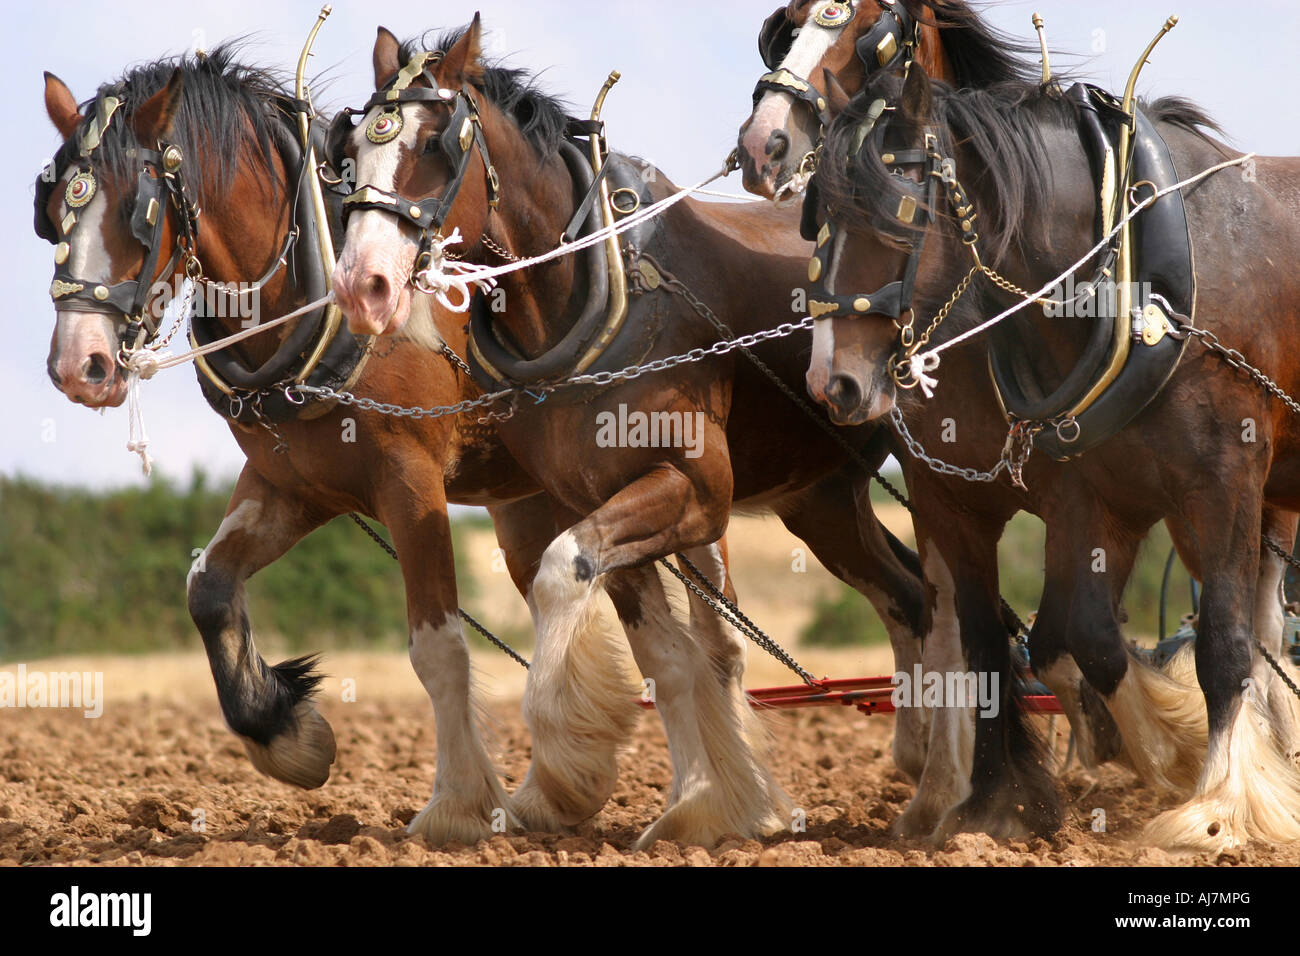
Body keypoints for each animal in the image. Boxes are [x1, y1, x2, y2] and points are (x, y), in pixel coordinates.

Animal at [34, 46, 618, 846]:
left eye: (137, 210)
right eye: (53, 212)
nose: (77, 365)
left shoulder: (410, 482)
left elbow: (438, 645)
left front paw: (458, 807)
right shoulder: (291, 482)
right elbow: (207, 588)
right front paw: (290, 735)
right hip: (526, 503)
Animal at [329, 20, 939, 847]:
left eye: (434, 145)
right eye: (352, 150)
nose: (362, 284)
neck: (593, 294)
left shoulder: (695, 492)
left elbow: (570, 579)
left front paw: (568, 754)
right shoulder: (597, 501)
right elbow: (670, 657)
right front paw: (709, 803)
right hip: (821, 498)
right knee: (909, 596)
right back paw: (924, 760)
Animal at [804, 56, 1300, 849]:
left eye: (895, 214)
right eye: (815, 217)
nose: (834, 383)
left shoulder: (1224, 482)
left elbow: (1220, 645)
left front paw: (1216, 805)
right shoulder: (1093, 494)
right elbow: (1078, 637)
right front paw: (1162, 751)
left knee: (1258, 630)